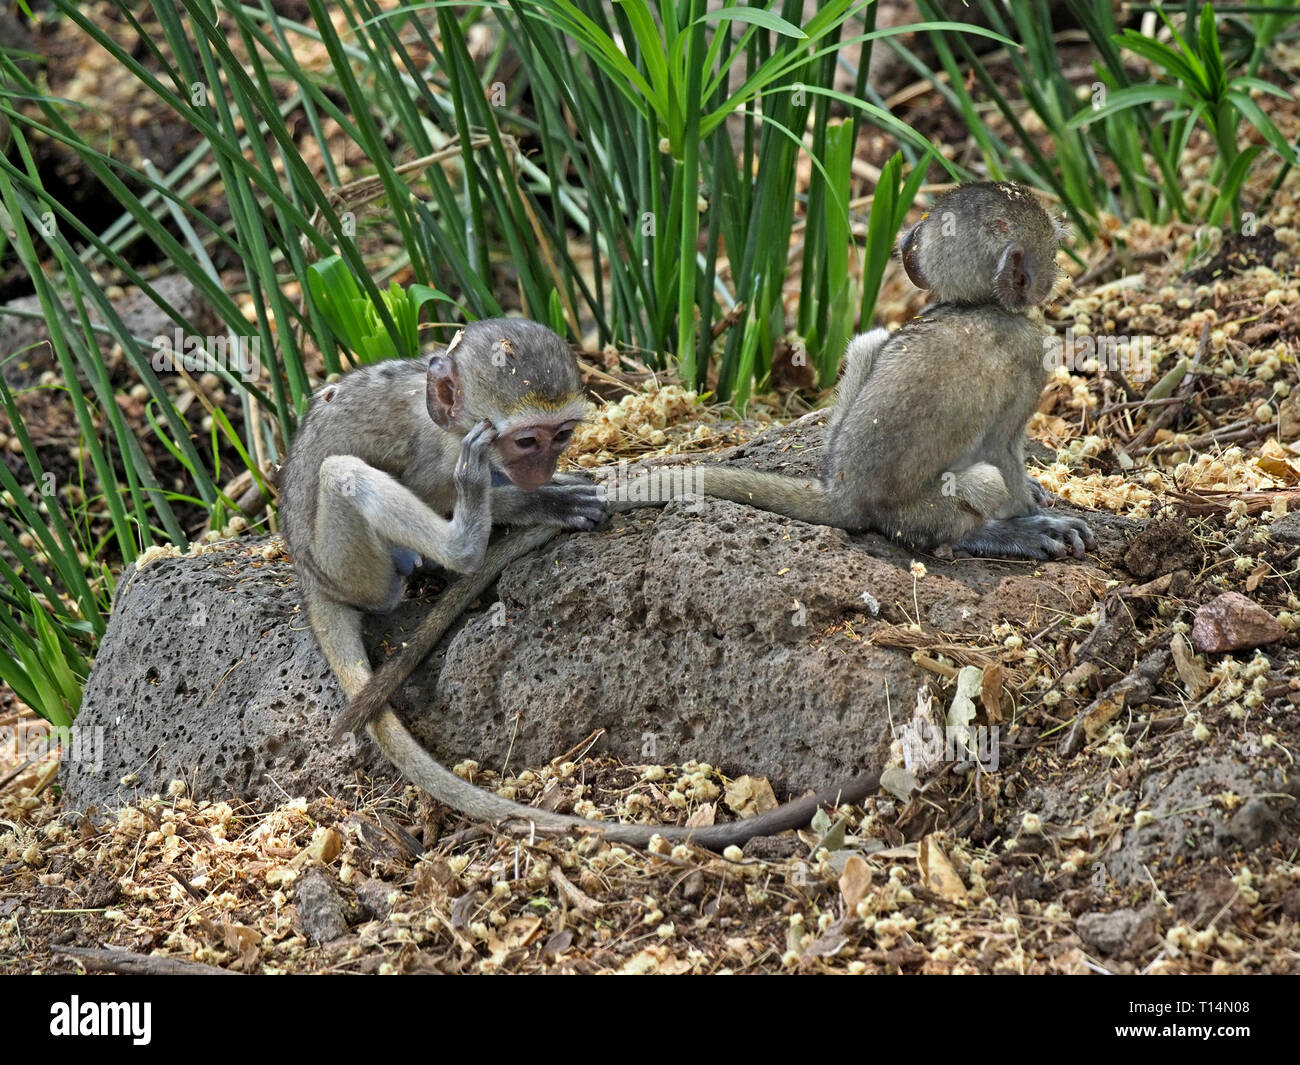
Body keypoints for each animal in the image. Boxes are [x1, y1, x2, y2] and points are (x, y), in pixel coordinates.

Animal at [604, 181, 1096, 561]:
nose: (1058, 275)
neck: (977, 305)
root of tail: (843, 495)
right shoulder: (1030, 355)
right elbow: (1002, 448)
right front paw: (1029, 512)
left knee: (870, 339)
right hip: (918, 512)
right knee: (970, 502)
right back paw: (990, 533)